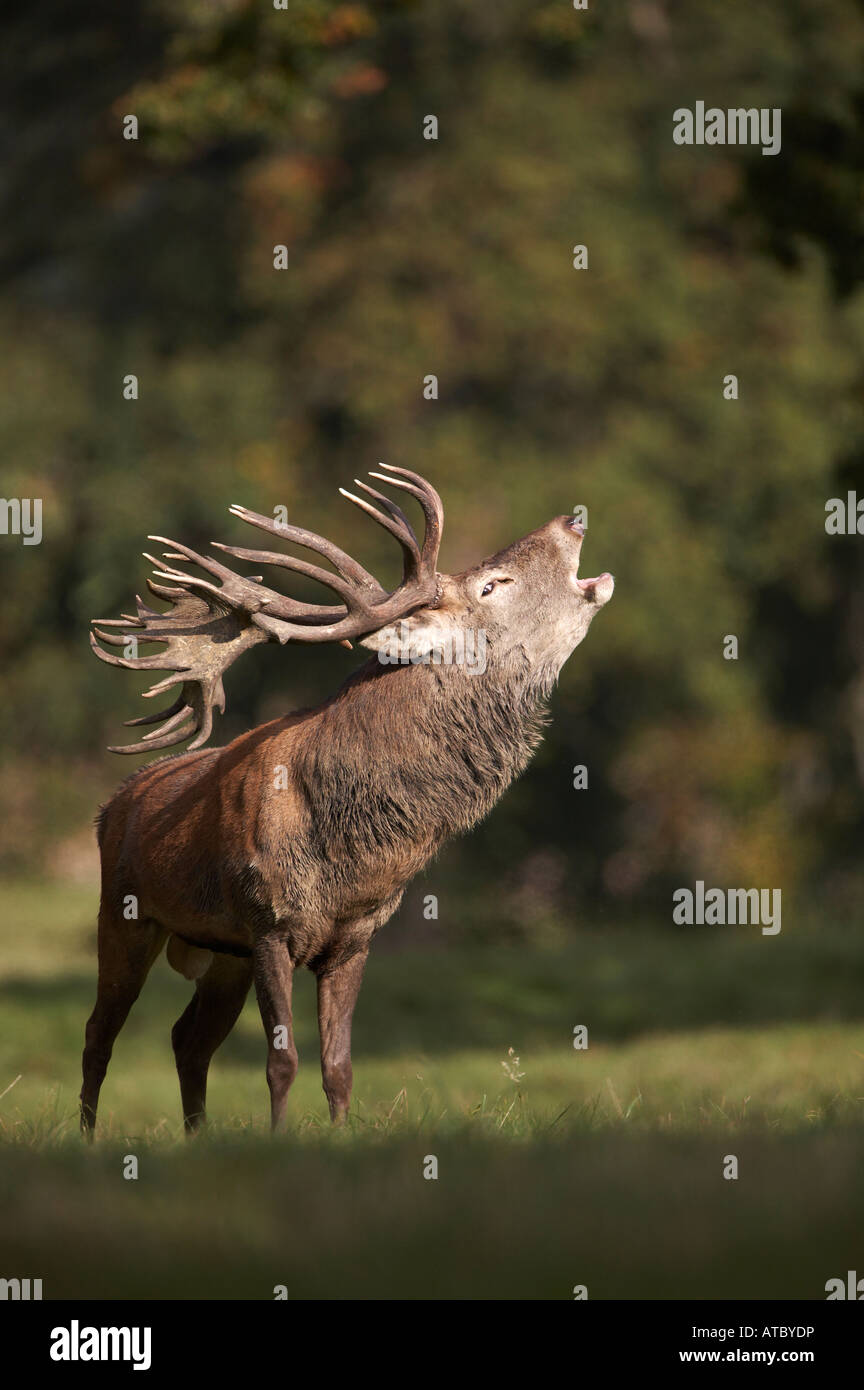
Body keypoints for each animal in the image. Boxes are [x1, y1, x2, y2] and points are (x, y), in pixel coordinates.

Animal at [82, 465, 613, 1136]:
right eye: (491, 585)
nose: (569, 521)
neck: (350, 850)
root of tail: (112, 804)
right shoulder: (268, 924)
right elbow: (281, 1061)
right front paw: (279, 1140)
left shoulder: (355, 936)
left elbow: (339, 1065)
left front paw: (340, 1137)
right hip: (125, 913)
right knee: (100, 1034)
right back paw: (88, 1135)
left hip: (222, 954)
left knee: (187, 1039)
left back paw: (195, 1134)